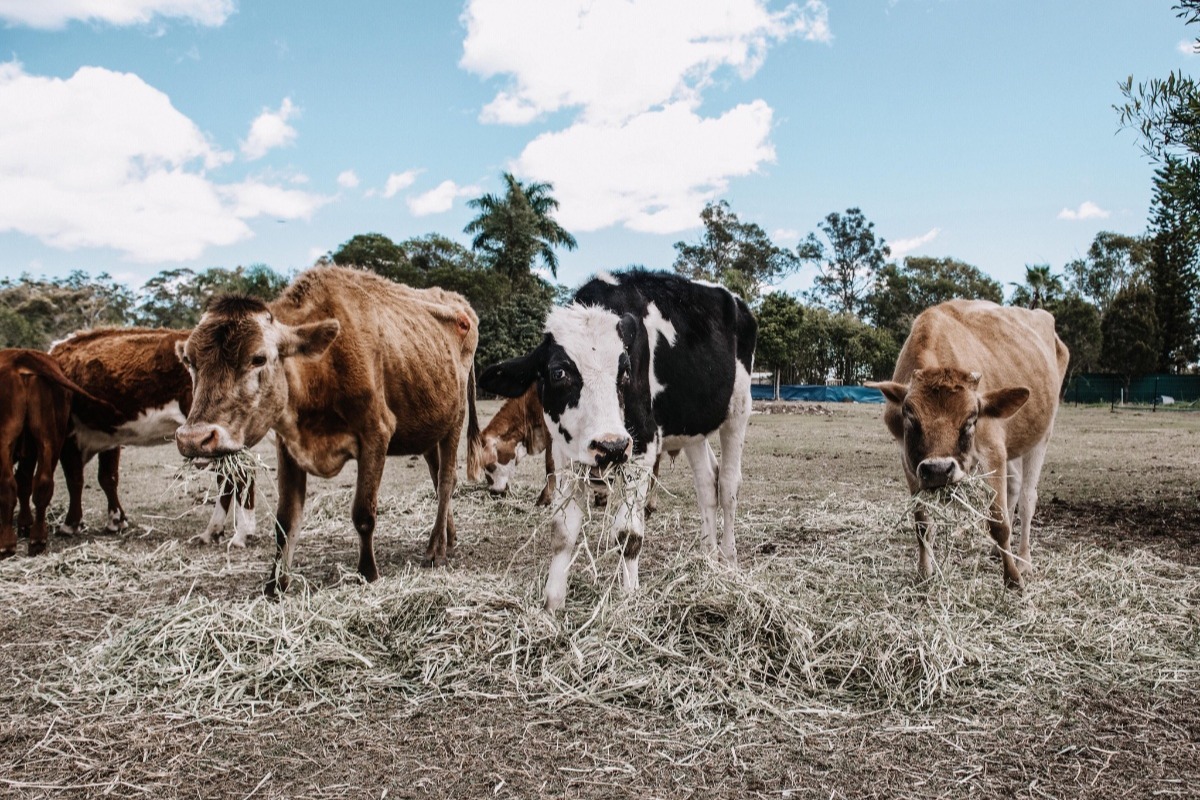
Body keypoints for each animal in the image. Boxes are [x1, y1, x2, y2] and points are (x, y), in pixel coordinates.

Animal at [1, 349, 109, 558]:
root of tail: (22, 357)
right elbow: (24, 482)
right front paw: (24, 524)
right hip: (50, 438)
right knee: (41, 483)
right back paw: (37, 539)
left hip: (7, 440)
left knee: (8, 485)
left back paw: (7, 544)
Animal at [50, 327, 256, 546]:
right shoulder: (109, 436)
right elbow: (108, 478)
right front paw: (116, 521)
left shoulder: (68, 436)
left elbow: (75, 480)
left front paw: (69, 524)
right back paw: (223, 531)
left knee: (237, 475)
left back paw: (237, 533)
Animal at [173, 266, 483, 594]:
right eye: (189, 361)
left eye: (258, 358)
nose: (194, 438)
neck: (322, 369)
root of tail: (462, 305)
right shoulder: (288, 446)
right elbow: (286, 521)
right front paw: (275, 585)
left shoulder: (376, 433)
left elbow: (363, 513)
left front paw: (368, 573)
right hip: (429, 424)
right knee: (437, 478)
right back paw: (448, 537)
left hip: (455, 418)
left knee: (446, 480)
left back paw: (437, 548)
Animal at [478, 268, 757, 610]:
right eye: (558, 373)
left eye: (625, 371)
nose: (610, 446)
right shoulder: (566, 453)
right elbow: (563, 531)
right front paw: (553, 603)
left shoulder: (641, 446)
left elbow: (628, 534)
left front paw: (628, 597)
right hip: (692, 427)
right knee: (707, 485)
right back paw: (709, 558)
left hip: (738, 410)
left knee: (728, 486)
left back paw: (728, 561)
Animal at [866, 300, 1069, 589]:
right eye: (909, 415)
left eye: (972, 418)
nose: (938, 470)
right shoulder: (908, 459)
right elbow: (922, 522)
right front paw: (924, 572)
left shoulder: (993, 449)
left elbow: (999, 522)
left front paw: (1013, 578)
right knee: (1015, 486)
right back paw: (998, 551)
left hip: (1042, 436)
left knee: (1028, 498)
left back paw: (1024, 561)